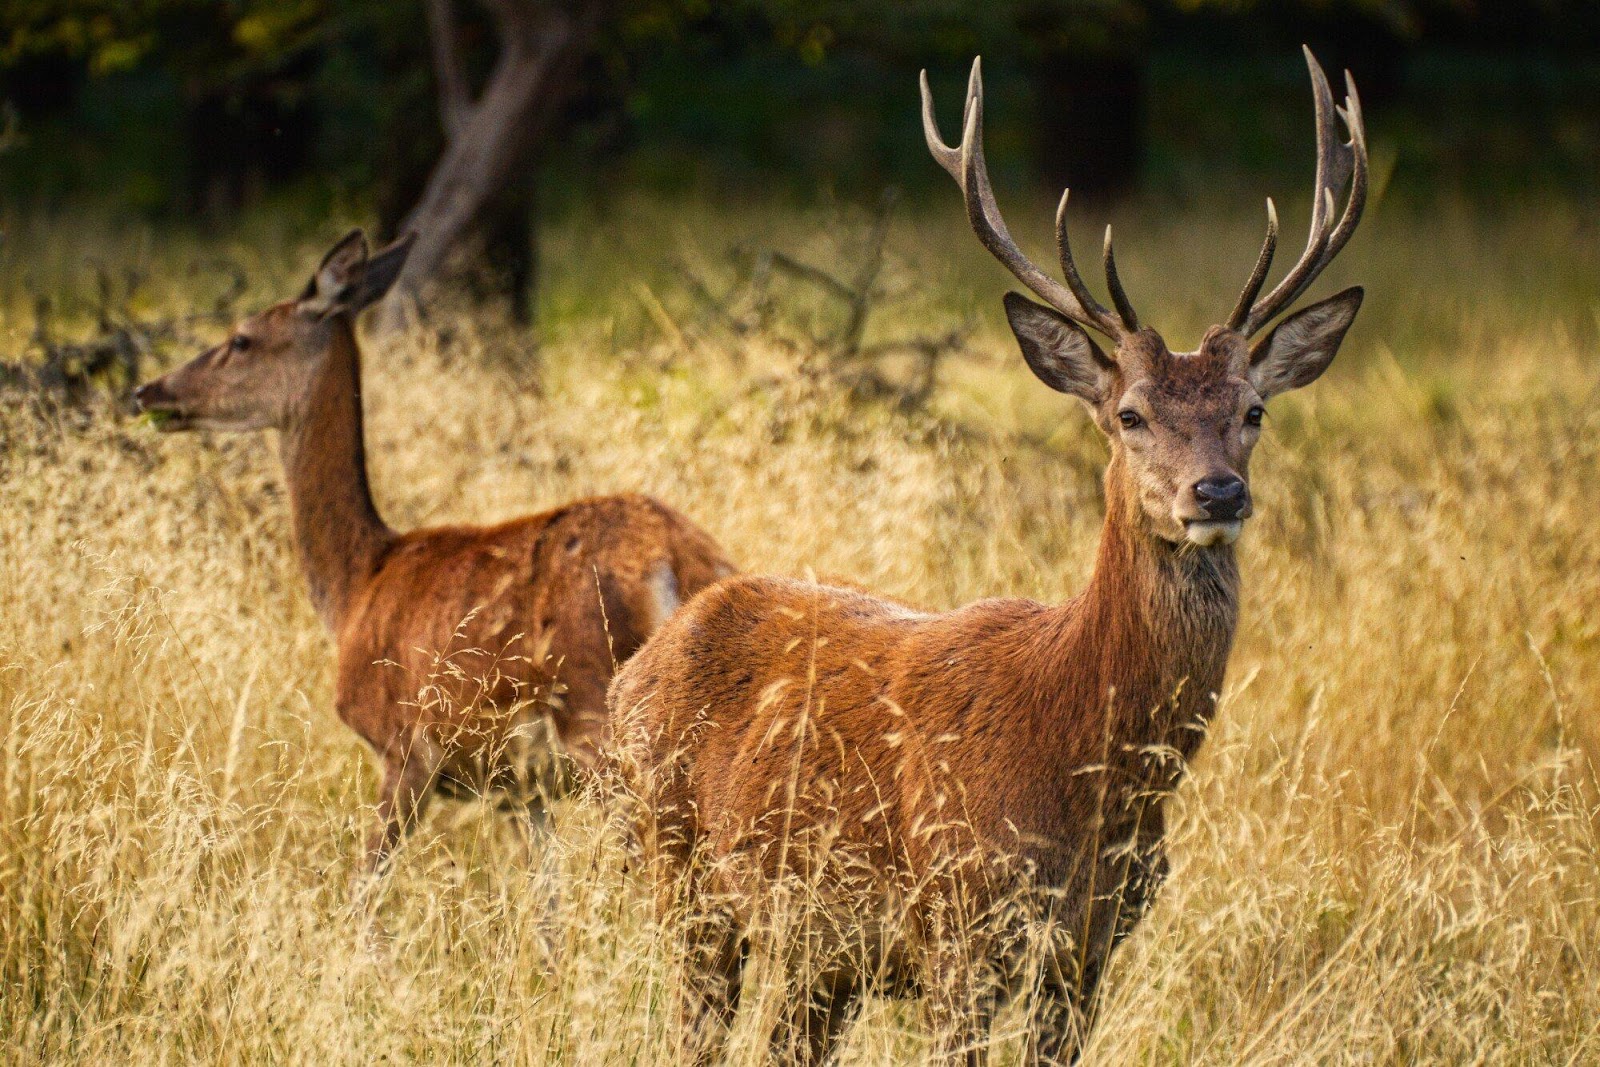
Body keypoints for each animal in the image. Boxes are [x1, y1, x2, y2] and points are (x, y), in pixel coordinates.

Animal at [133, 230, 734, 872]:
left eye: (241, 338)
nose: (147, 390)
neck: (356, 586)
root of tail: (676, 563)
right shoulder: (518, 788)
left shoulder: (404, 749)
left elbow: (366, 882)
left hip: (597, 716)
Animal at [606, 47, 1367, 1065]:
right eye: (1130, 415)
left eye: (1254, 410)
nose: (1216, 494)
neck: (1088, 770)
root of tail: (639, 666)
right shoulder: (957, 925)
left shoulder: (1092, 946)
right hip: (679, 872)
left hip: (817, 951)